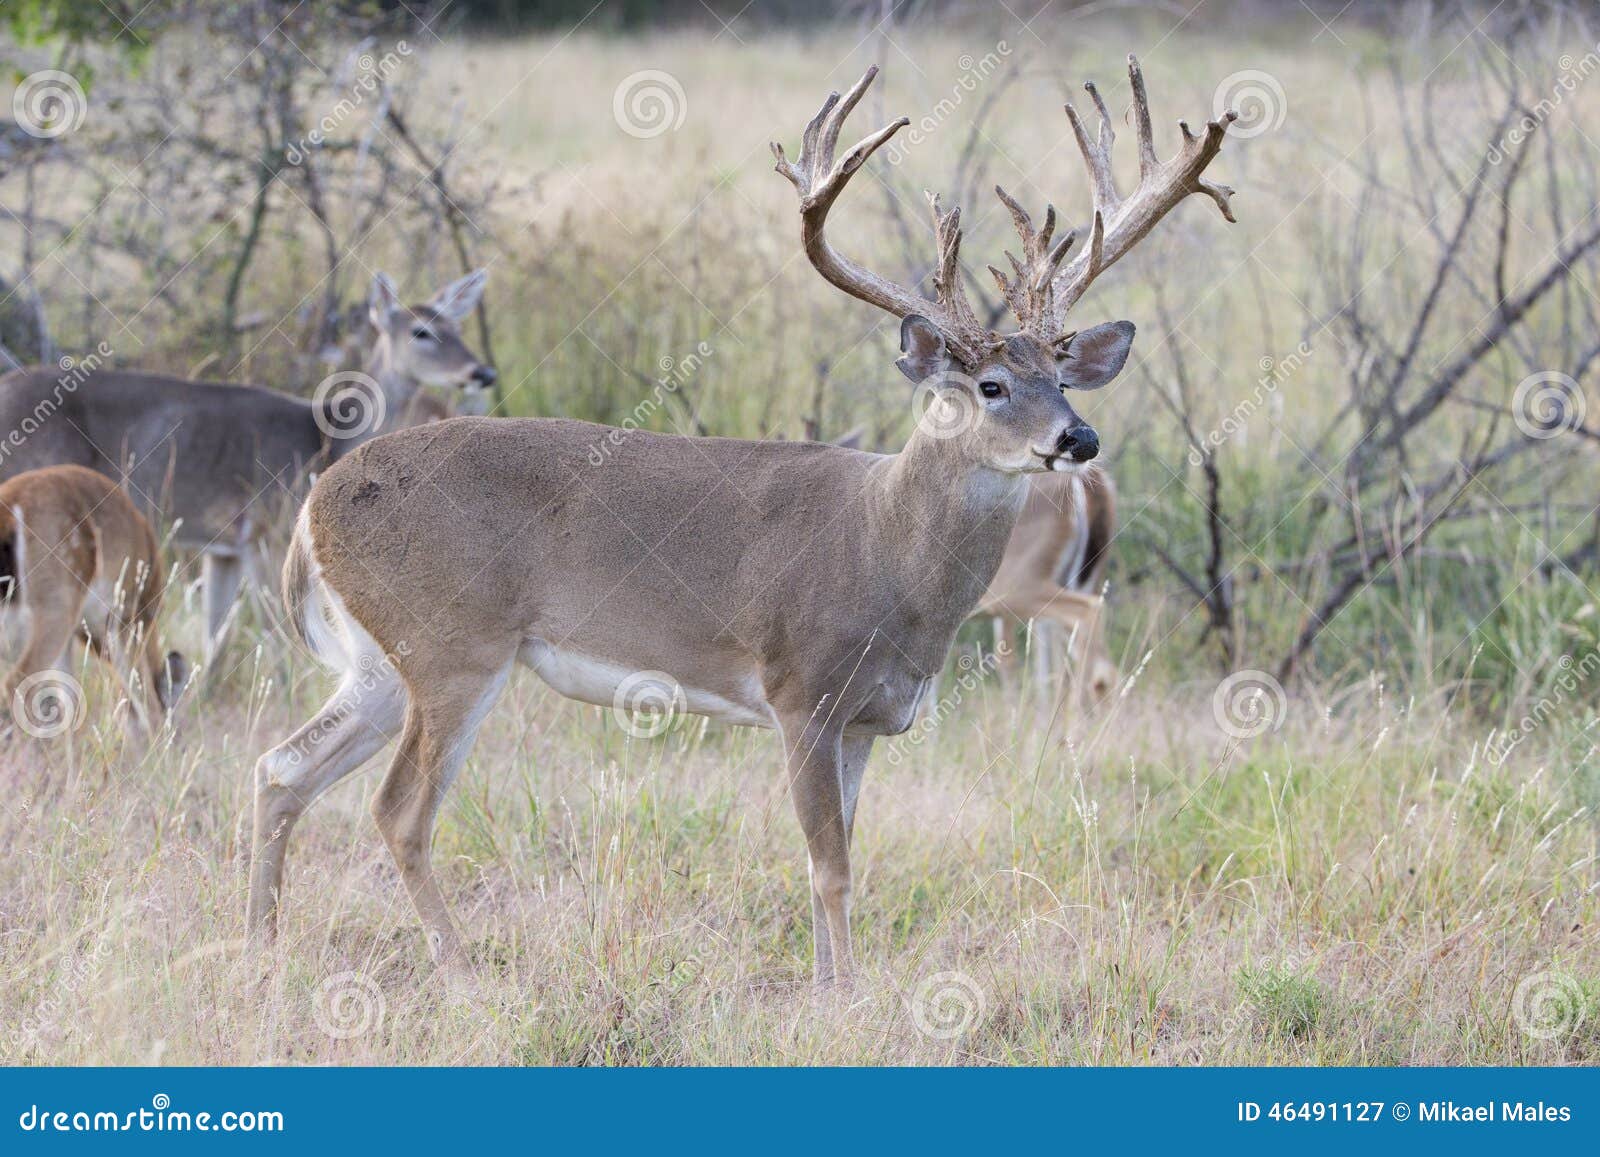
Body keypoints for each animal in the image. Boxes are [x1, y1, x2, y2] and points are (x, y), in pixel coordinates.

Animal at [0, 270, 497, 670]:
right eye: (421, 331)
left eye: (456, 325)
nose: (483, 372)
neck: (327, 440)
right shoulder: (267, 531)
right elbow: (282, 637)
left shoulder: (224, 547)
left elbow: (216, 639)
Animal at [0, 464, 187, 741]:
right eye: (177, 730)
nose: (177, 745)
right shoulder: (123, 618)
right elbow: (146, 702)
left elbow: (68, 703)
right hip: (58, 603)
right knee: (18, 682)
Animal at [246, 58, 1237, 985]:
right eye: (991, 385)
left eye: (1061, 377)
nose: (1079, 436)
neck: (889, 557)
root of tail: (316, 503)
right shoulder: (803, 689)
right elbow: (829, 866)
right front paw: (842, 998)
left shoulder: (866, 722)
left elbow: (841, 856)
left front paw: (834, 983)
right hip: (453, 642)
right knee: (397, 809)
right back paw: (458, 967)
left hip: (382, 661)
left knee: (281, 767)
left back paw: (262, 942)